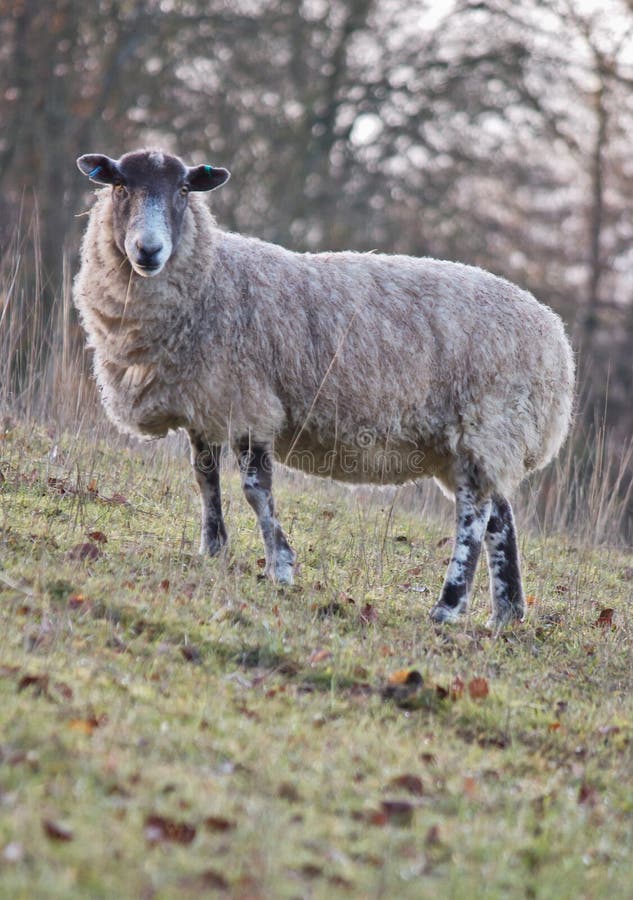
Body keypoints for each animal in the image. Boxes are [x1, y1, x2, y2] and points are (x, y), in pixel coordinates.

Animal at [74, 148, 575, 629]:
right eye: (120, 186)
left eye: (182, 190)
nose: (149, 250)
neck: (212, 275)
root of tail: (556, 338)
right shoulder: (207, 400)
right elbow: (205, 479)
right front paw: (213, 550)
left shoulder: (250, 403)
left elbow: (255, 490)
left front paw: (280, 567)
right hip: (481, 443)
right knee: (500, 516)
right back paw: (506, 613)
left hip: (485, 424)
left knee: (475, 517)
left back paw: (448, 608)